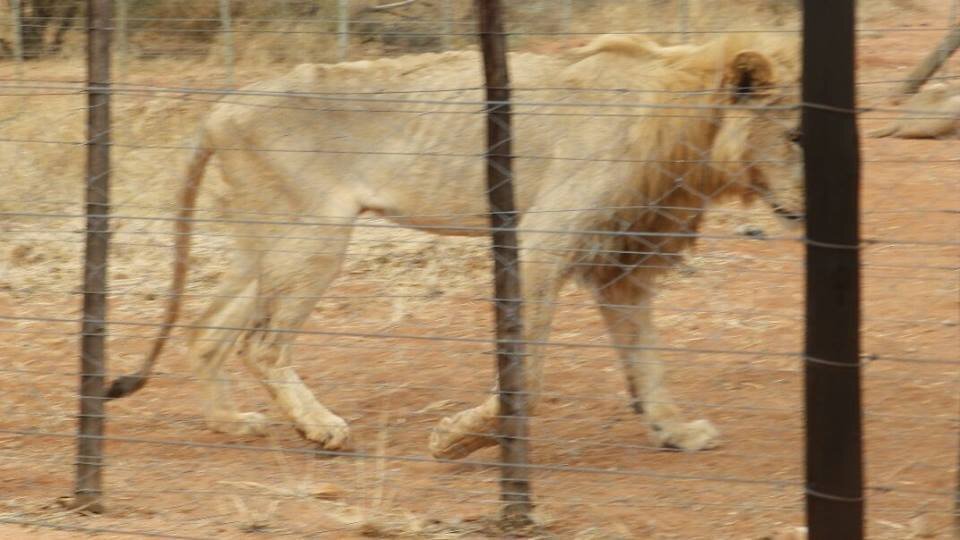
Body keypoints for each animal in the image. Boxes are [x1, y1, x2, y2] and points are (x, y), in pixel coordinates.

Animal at [106, 33, 803, 460]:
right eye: (797, 135)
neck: (689, 127)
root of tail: (221, 107)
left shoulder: (621, 263)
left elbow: (648, 361)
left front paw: (675, 430)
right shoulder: (542, 243)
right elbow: (528, 371)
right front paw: (459, 439)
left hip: (273, 241)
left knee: (209, 329)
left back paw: (230, 421)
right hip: (314, 237)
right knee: (262, 343)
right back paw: (321, 427)